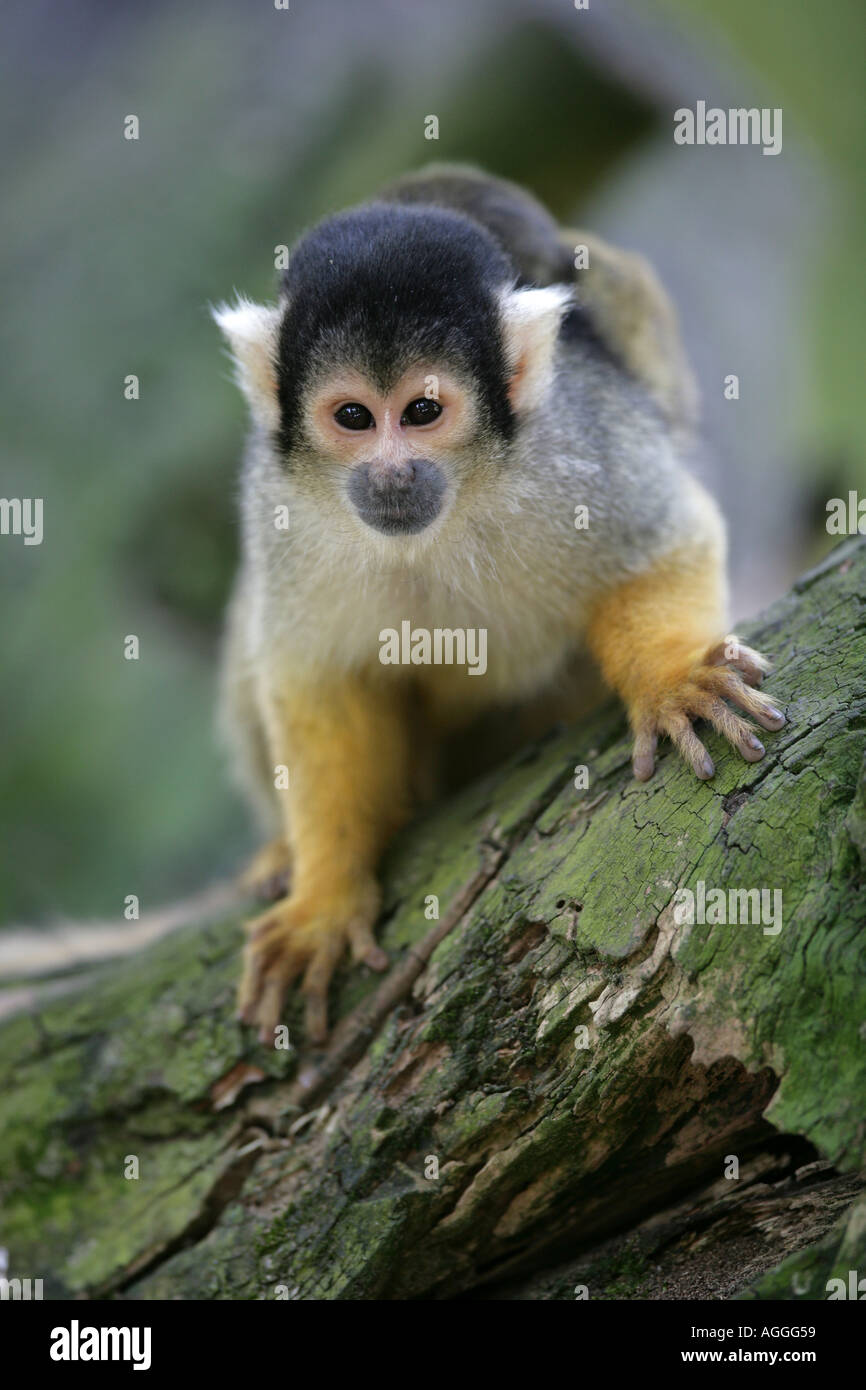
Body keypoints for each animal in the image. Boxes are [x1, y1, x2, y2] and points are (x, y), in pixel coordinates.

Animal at [213, 163, 785, 1045]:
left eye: (421, 412)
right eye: (353, 417)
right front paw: (323, 896)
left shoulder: (572, 443)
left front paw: (672, 677)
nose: (392, 475)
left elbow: (665, 535)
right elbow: (317, 678)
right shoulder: (280, 506)